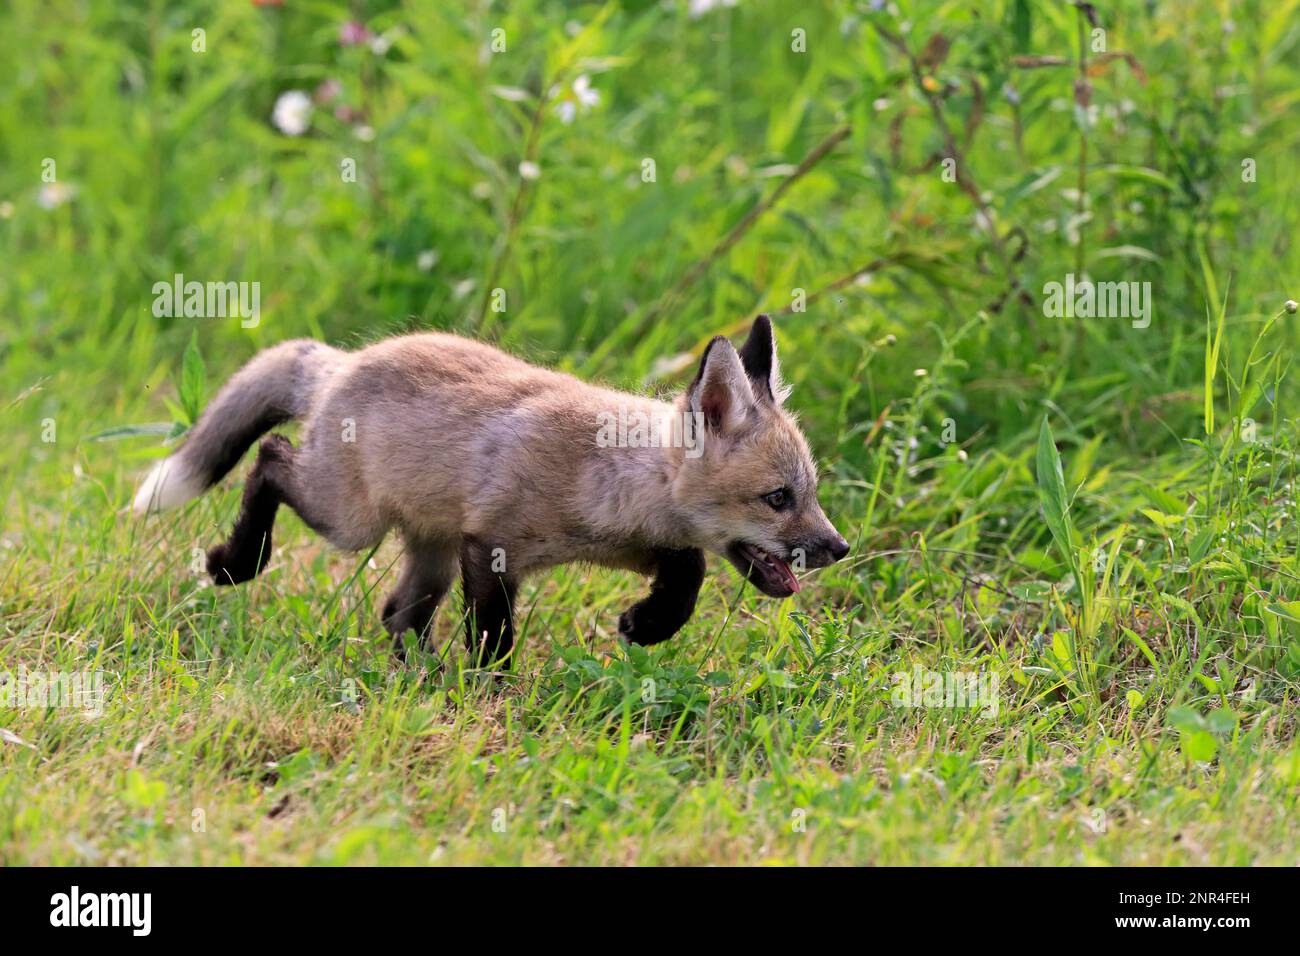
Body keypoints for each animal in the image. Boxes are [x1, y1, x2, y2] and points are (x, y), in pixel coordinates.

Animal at [132, 315, 849, 665]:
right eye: (778, 499)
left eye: (812, 493)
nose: (839, 548)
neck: (603, 477)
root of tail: (345, 361)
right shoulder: (489, 547)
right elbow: (495, 637)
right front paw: (491, 694)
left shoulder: (634, 547)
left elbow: (691, 568)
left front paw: (648, 625)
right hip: (351, 521)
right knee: (269, 458)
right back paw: (237, 561)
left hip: (430, 552)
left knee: (396, 612)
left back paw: (418, 675)